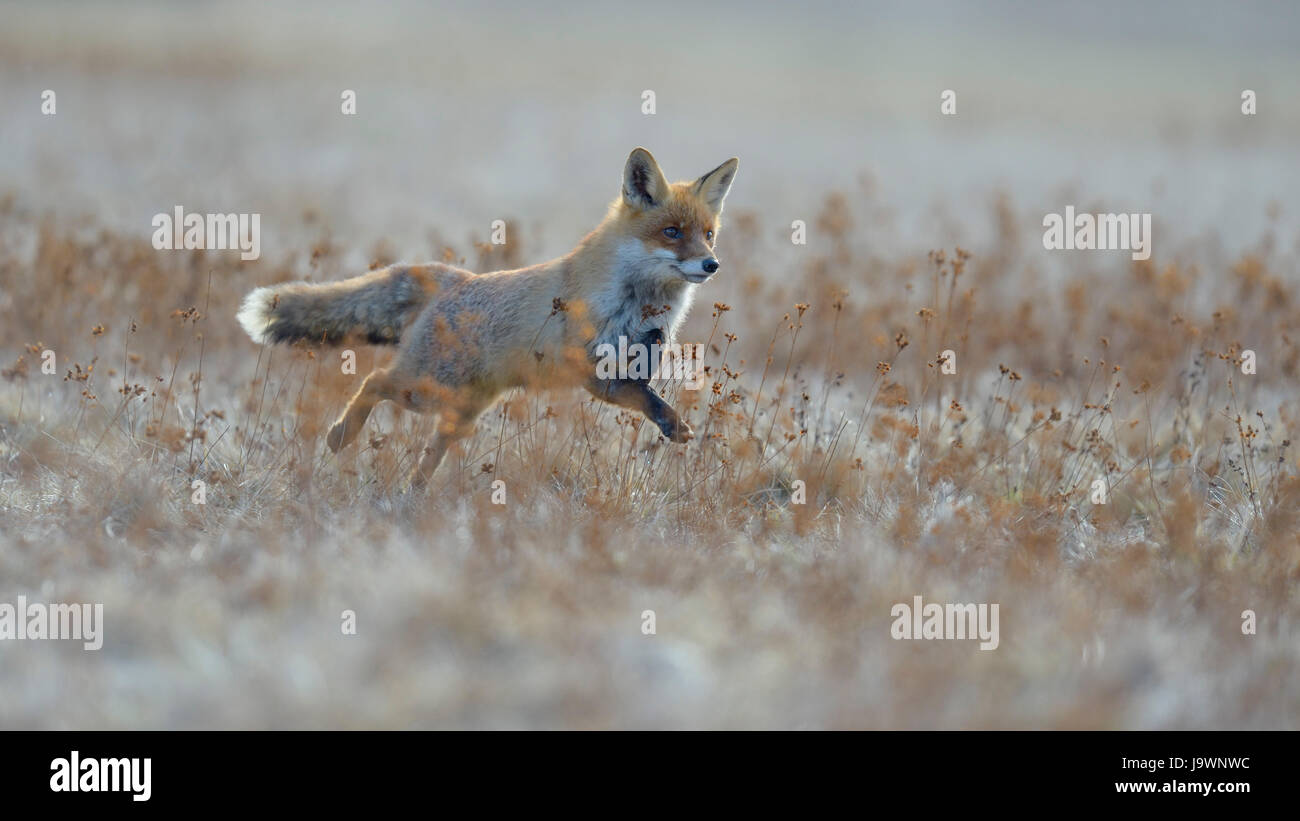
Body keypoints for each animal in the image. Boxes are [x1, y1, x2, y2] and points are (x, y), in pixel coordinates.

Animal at [237, 147, 738, 486]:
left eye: (709, 234)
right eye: (671, 232)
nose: (712, 264)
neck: (637, 302)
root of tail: (455, 280)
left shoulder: (632, 363)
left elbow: (648, 391)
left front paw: (671, 422)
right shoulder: (594, 373)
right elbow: (647, 398)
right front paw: (675, 425)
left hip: (460, 409)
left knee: (432, 445)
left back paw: (413, 491)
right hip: (425, 388)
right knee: (373, 380)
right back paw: (342, 436)